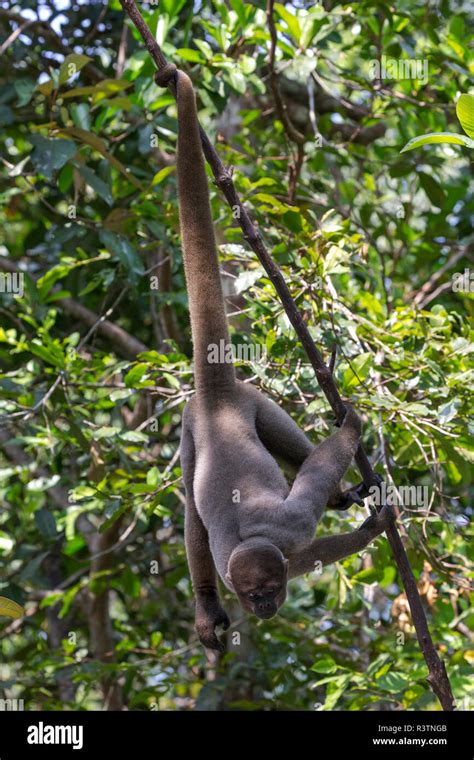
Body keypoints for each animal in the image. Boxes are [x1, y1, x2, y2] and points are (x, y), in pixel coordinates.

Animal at [155, 64, 394, 651]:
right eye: (251, 595)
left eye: (267, 592)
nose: (262, 608)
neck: (252, 540)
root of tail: (216, 395)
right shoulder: (236, 562)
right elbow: (200, 544)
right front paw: (208, 610)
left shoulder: (291, 535)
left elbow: (311, 498)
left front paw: (366, 518)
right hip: (192, 427)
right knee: (192, 515)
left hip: (255, 404)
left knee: (297, 450)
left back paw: (343, 468)